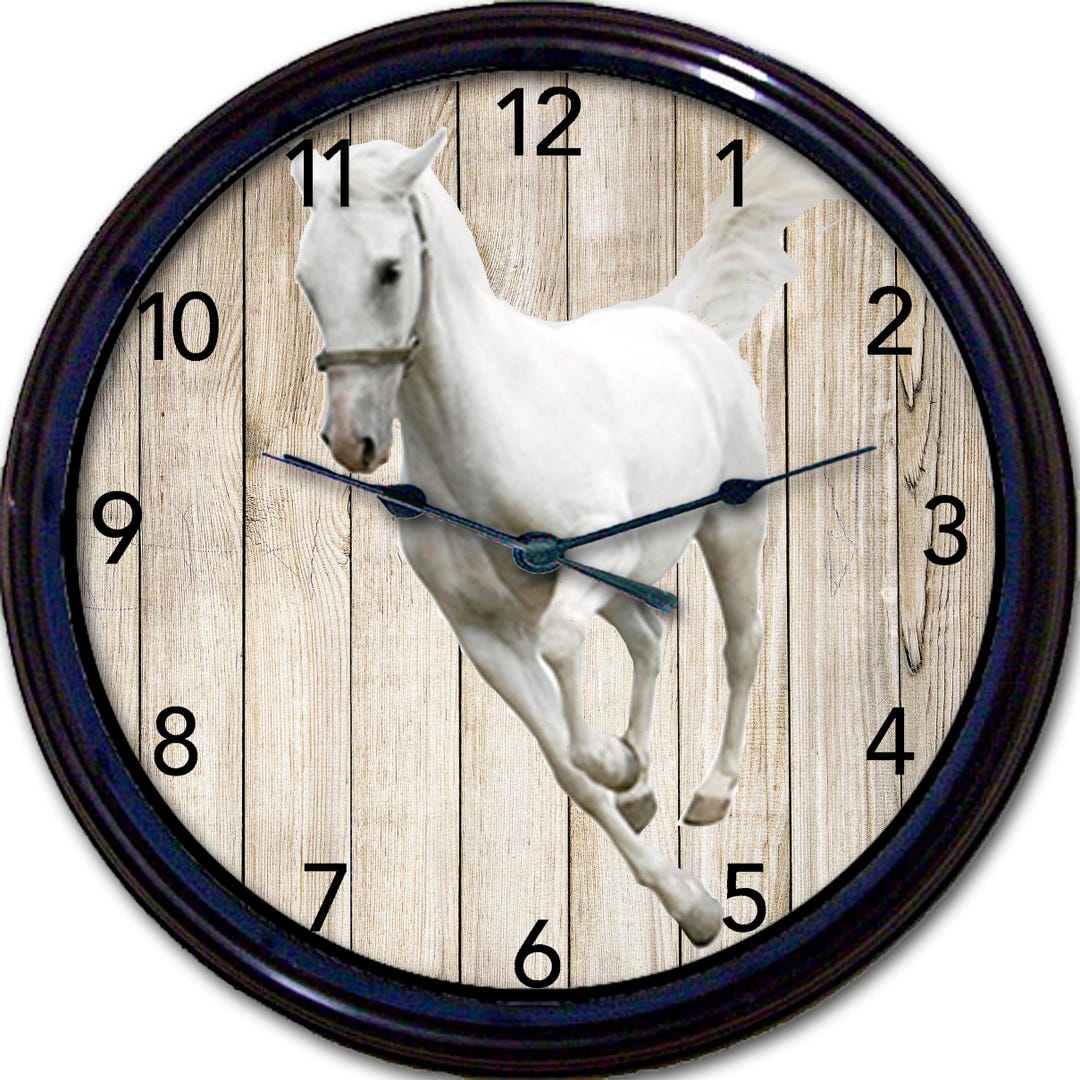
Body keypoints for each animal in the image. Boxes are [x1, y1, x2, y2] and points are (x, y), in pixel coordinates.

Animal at [289, 130, 834, 945]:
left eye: (389, 270)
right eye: (308, 279)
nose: (353, 442)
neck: (489, 436)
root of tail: (681, 321)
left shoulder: (594, 560)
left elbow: (563, 657)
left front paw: (621, 772)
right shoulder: (483, 634)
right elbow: (570, 769)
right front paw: (685, 893)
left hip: (732, 528)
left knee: (741, 644)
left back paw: (710, 792)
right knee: (648, 635)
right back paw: (642, 776)